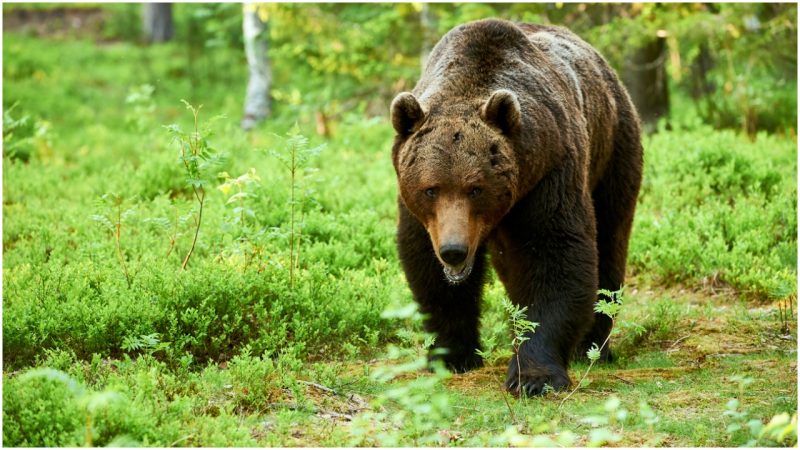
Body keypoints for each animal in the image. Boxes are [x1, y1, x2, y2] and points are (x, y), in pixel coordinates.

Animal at [390, 19, 643, 397]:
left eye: (476, 188)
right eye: (431, 189)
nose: (454, 250)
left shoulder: (549, 176)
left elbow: (554, 258)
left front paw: (534, 376)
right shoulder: (420, 214)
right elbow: (428, 269)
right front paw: (452, 355)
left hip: (613, 149)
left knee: (610, 239)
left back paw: (593, 346)